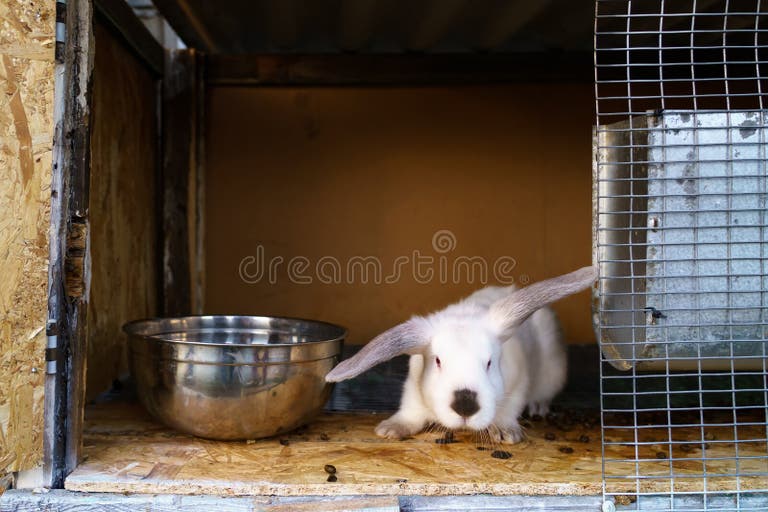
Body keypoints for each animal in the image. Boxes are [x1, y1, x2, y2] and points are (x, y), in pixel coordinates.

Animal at [325, 265, 597, 444]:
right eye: (437, 361)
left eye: (489, 363)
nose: (465, 405)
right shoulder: (413, 387)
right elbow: (410, 410)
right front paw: (391, 429)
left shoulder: (519, 382)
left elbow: (509, 407)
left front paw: (505, 433)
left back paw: (538, 407)